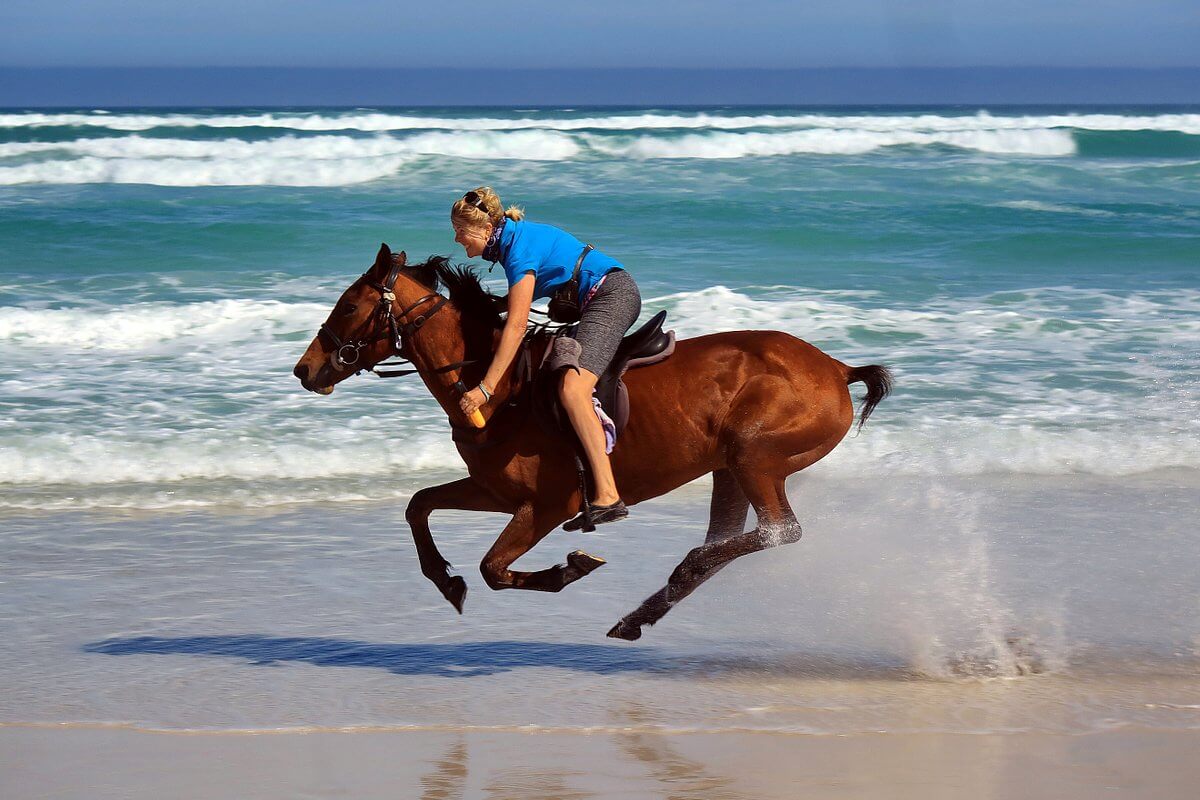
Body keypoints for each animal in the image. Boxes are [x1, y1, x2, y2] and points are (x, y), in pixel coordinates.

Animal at [293, 244, 892, 640]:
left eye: (349, 306)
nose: (304, 369)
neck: (496, 383)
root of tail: (837, 369)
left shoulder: (547, 505)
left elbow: (493, 568)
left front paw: (570, 567)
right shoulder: (498, 492)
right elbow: (419, 506)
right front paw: (445, 580)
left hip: (754, 457)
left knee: (777, 532)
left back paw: (676, 572)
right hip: (730, 468)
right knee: (731, 540)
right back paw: (644, 610)